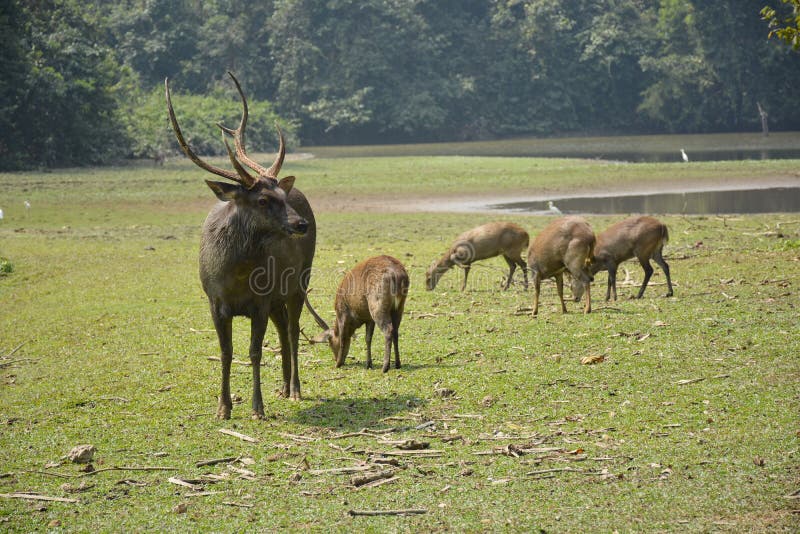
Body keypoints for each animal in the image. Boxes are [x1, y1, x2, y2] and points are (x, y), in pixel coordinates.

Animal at [165, 72, 316, 419]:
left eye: (282, 197)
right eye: (262, 199)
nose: (301, 224)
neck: (235, 276)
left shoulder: (259, 301)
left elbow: (254, 351)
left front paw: (257, 408)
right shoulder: (214, 302)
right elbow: (226, 352)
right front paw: (223, 407)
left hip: (300, 280)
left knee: (292, 330)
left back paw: (296, 389)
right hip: (277, 295)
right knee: (283, 329)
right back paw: (283, 387)